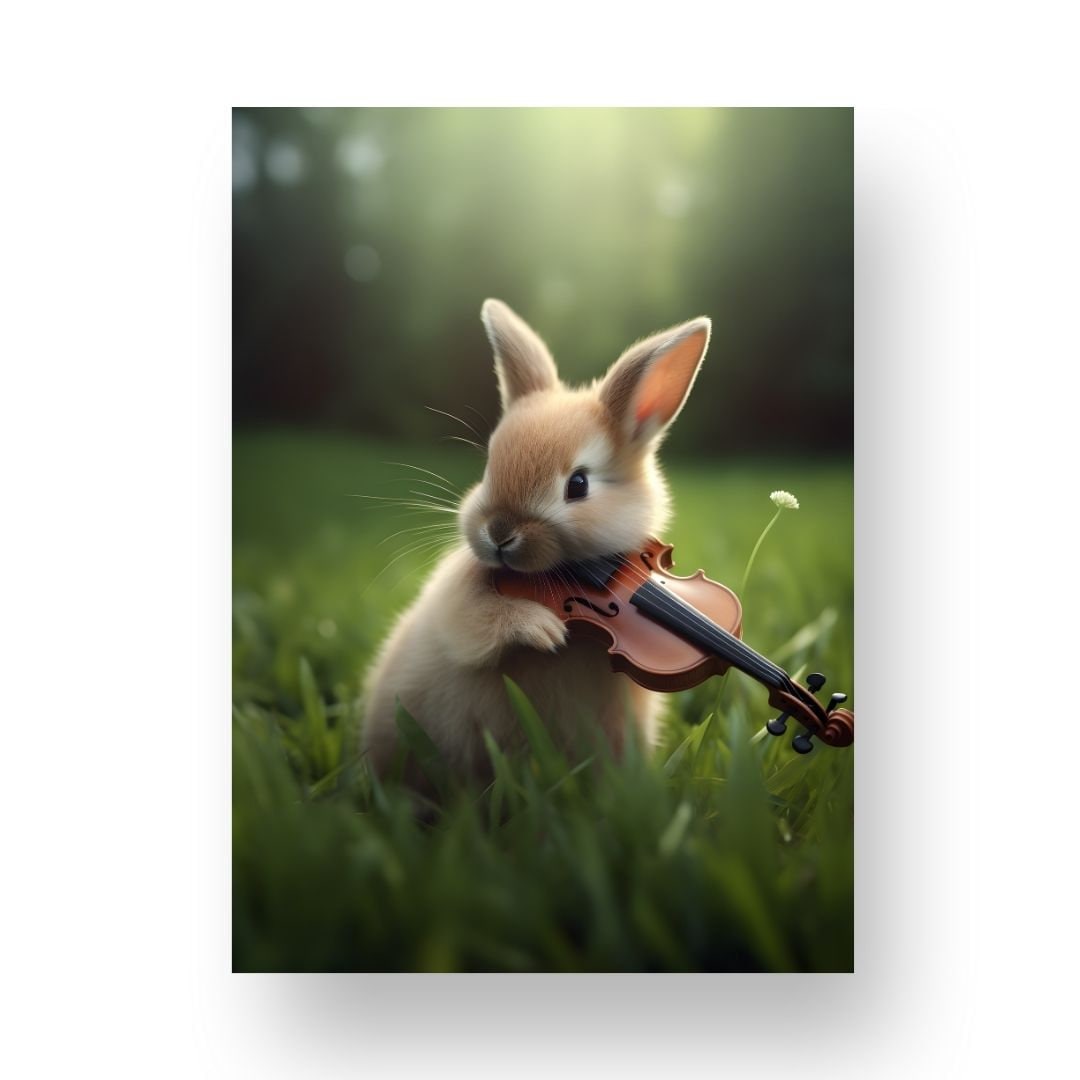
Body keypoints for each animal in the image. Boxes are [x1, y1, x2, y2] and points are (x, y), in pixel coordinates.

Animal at [361, 298, 711, 782]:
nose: (499, 534)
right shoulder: (460, 600)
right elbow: (472, 625)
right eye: (489, 466)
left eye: (578, 485)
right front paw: (543, 631)